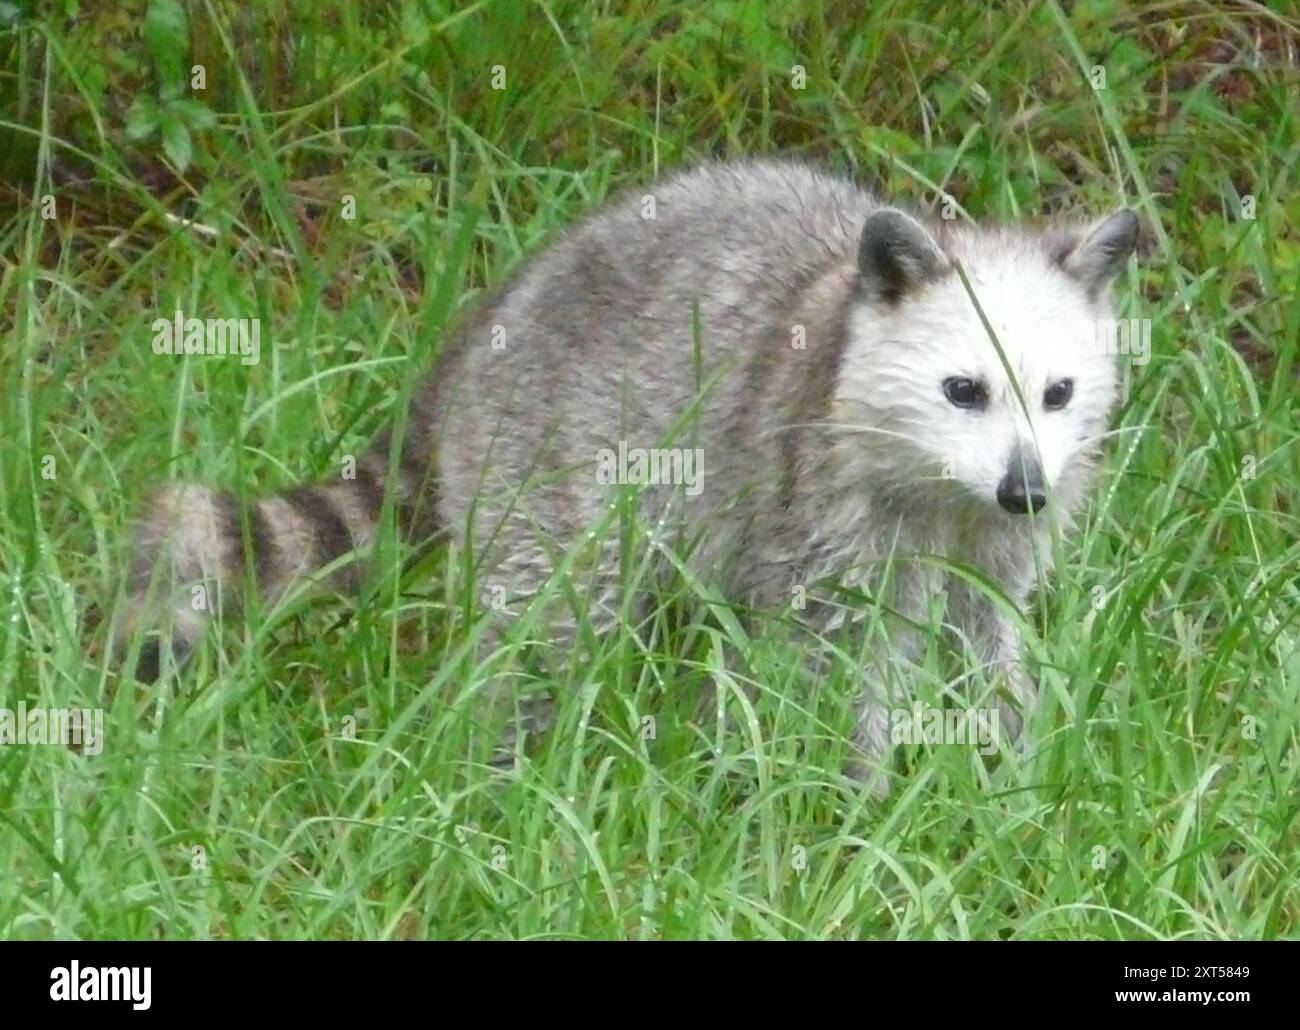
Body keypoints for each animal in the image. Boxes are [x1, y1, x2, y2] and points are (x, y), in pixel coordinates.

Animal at [117, 159, 1137, 790]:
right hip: (545, 457)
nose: (1026, 491)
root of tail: (482, 330)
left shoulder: (994, 543)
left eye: (1058, 393)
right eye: (963, 391)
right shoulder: (816, 511)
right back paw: (507, 765)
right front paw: (855, 794)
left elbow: (988, 636)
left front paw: (1006, 761)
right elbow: (836, 664)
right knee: (556, 621)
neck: (947, 491)